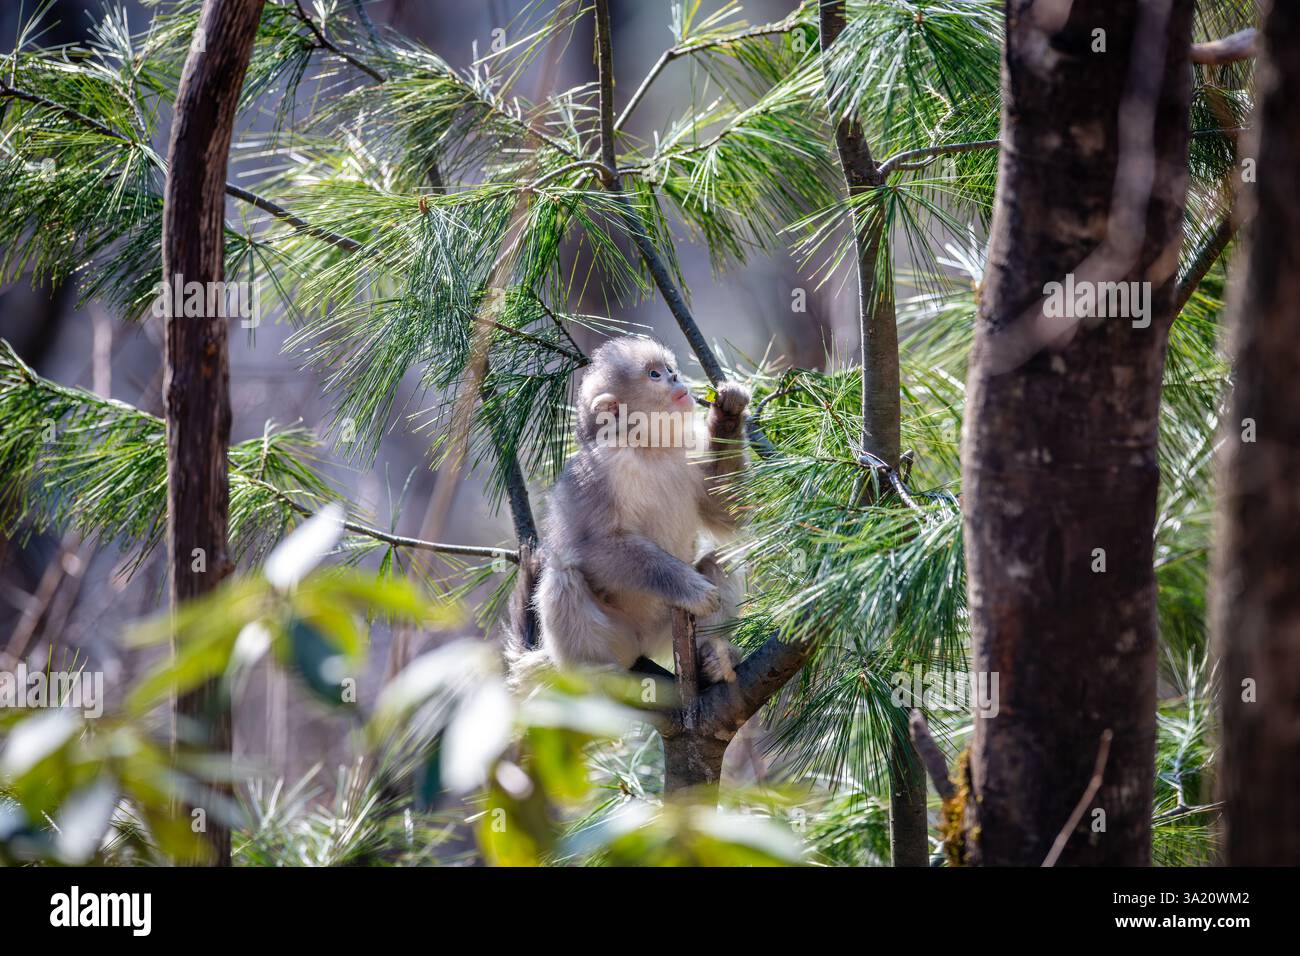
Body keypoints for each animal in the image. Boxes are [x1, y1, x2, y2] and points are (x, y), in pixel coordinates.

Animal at [507, 336, 750, 687]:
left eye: (669, 368)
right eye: (654, 375)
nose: (675, 378)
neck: (650, 449)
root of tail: (643, 644)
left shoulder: (689, 449)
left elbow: (729, 512)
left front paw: (729, 411)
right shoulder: (598, 469)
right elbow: (592, 545)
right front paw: (690, 588)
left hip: (665, 633)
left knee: (724, 558)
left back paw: (712, 658)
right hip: (618, 637)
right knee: (563, 573)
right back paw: (590, 674)